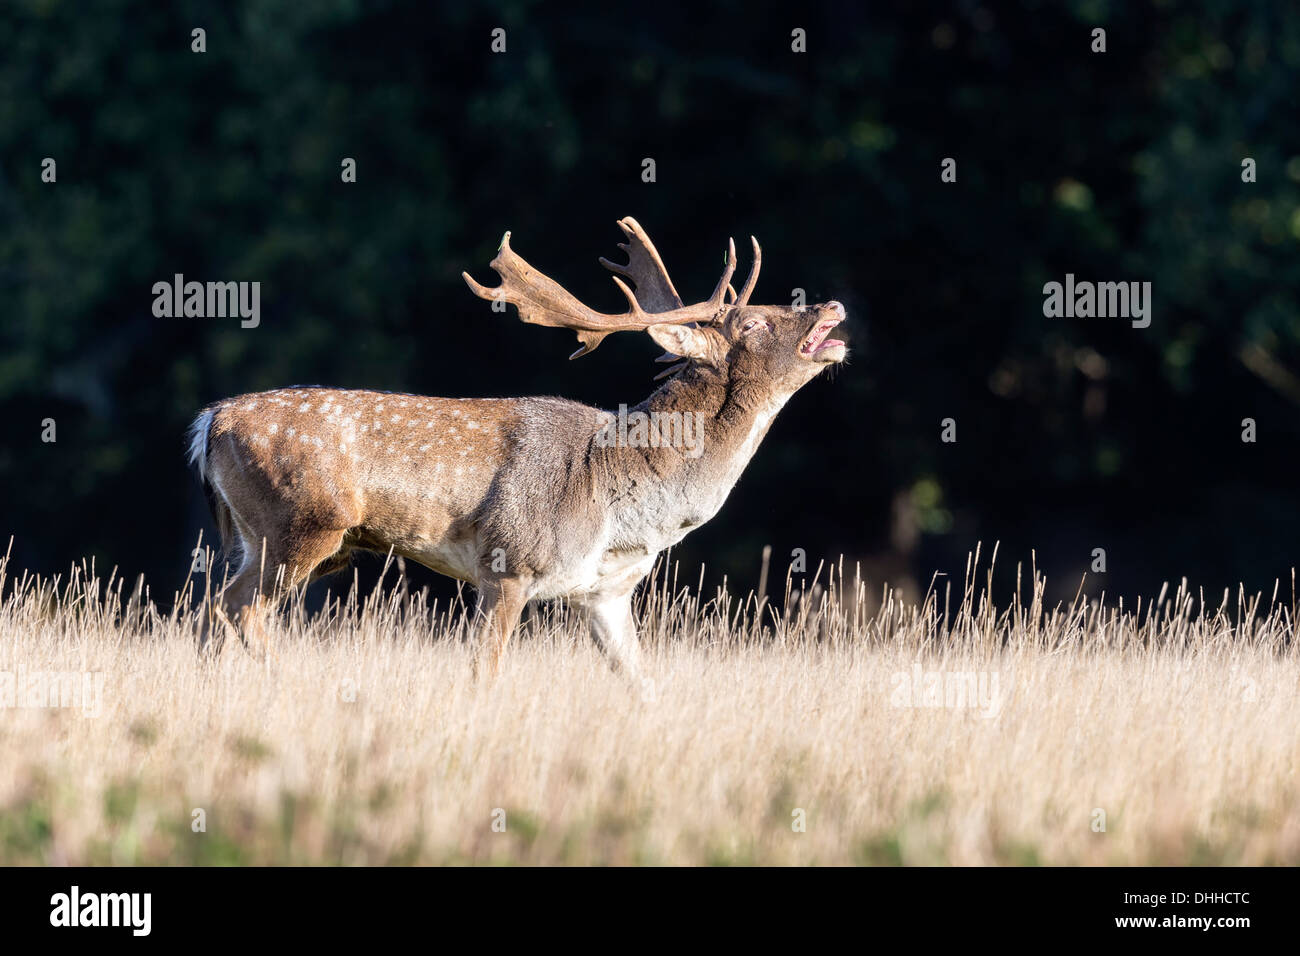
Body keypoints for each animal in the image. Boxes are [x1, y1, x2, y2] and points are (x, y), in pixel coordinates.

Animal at [188, 217, 847, 677]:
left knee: (209, 610)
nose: (832, 302)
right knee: (236, 607)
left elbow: (642, 683)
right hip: (302, 524)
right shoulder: (508, 563)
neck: (626, 496)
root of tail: (211, 420)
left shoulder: (605, 592)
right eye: (754, 323)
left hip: (269, 536)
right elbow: (486, 672)